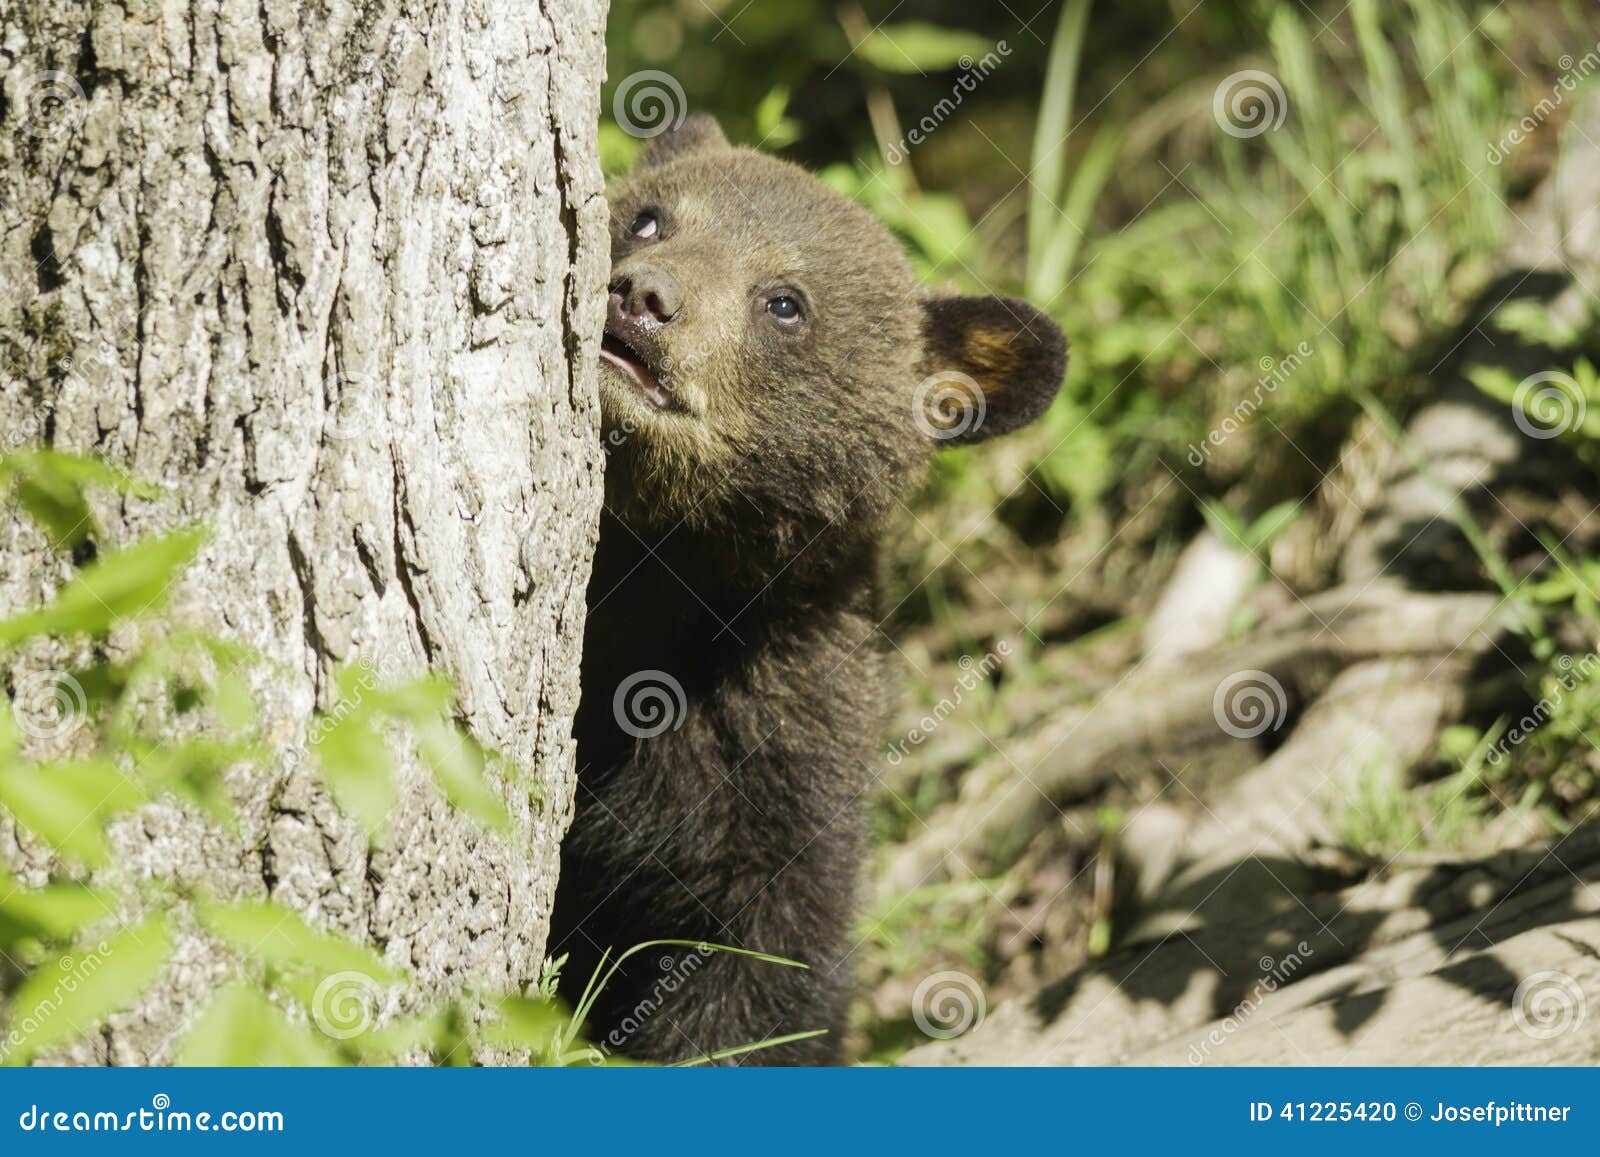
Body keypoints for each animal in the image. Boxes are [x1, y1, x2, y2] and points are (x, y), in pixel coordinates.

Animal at [547, 113, 1065, 1065]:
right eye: (650, 218)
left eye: (785, 301)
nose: (642, 296)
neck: (662, 566)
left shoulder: (776, 731)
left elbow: (768, 955)